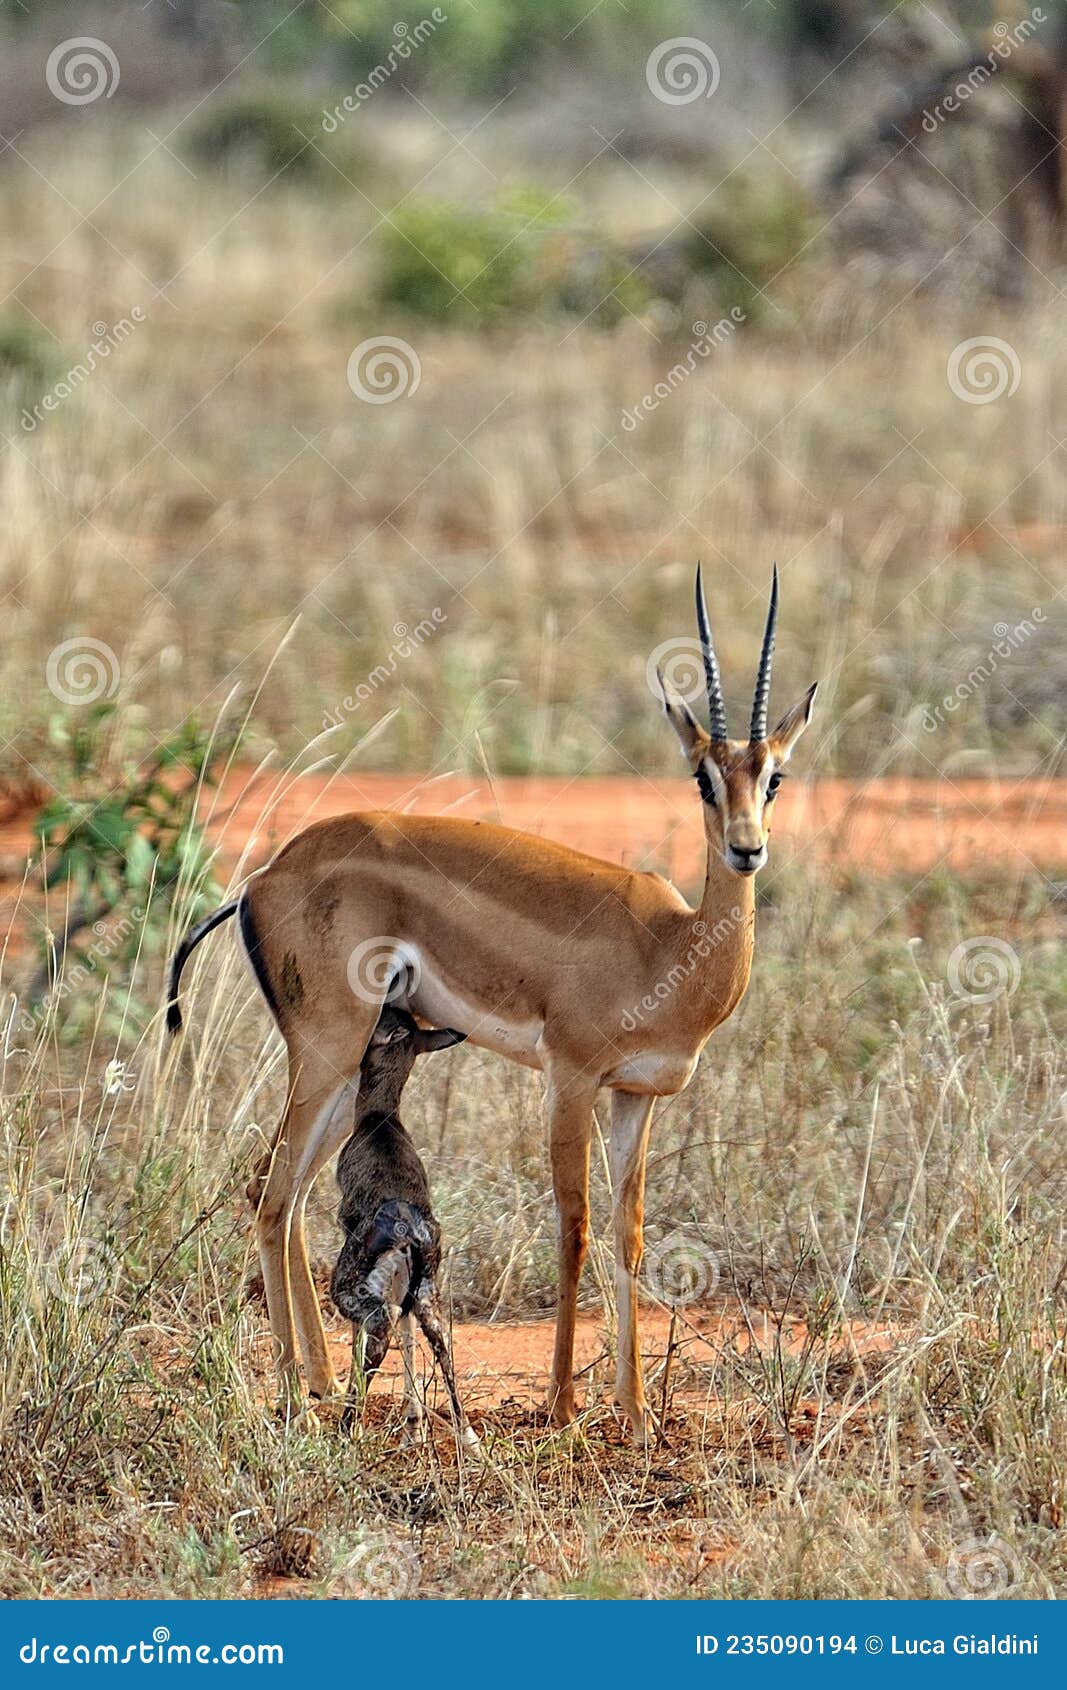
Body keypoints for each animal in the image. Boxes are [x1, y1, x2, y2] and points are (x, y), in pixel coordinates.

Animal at [166, 564, 816, 1443]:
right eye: (701, 777)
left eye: (772, 776)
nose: (748, 849)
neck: (667, 948)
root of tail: (261, 879)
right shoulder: (570, 1080)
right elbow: (573, 1228)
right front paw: (564, 1405)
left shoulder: (636, 1096)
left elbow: (628, 1237)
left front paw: (637, 1415)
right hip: (329, 1047)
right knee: (269, 1188)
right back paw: (298, 1397)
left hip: (350, 1064)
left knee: (285, 1189)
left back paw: (320, 1381)